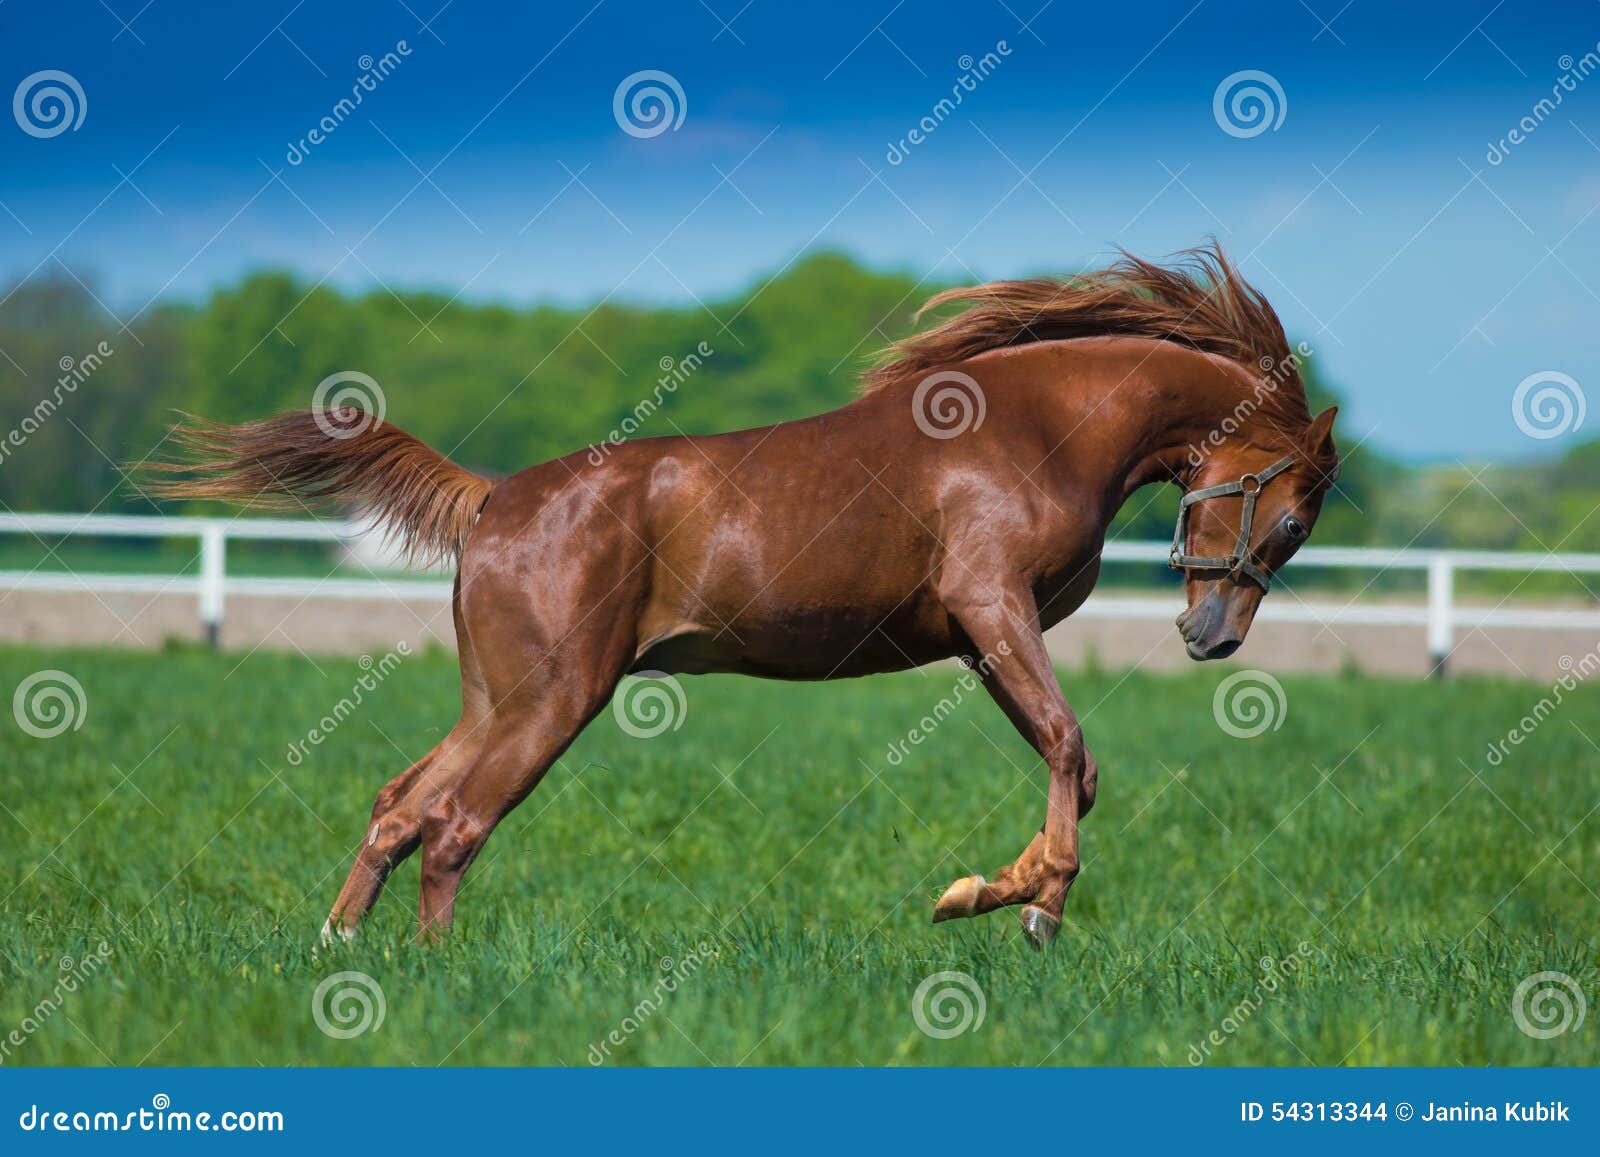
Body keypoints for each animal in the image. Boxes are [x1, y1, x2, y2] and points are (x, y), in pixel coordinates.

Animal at [148, 244, 1340, 949]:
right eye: (1289, 520)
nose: (1211, 634)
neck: (1040, 424)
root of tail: (493, 499)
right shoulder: (990, 603)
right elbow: (1066, 744)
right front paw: (1004, 900)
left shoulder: (979, 634)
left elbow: (1073, 764)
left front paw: (1017, 898)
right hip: (556, 698)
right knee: (453, 826)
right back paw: (430, 976)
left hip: (498, 695)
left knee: (400, 806)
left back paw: (345, 949)